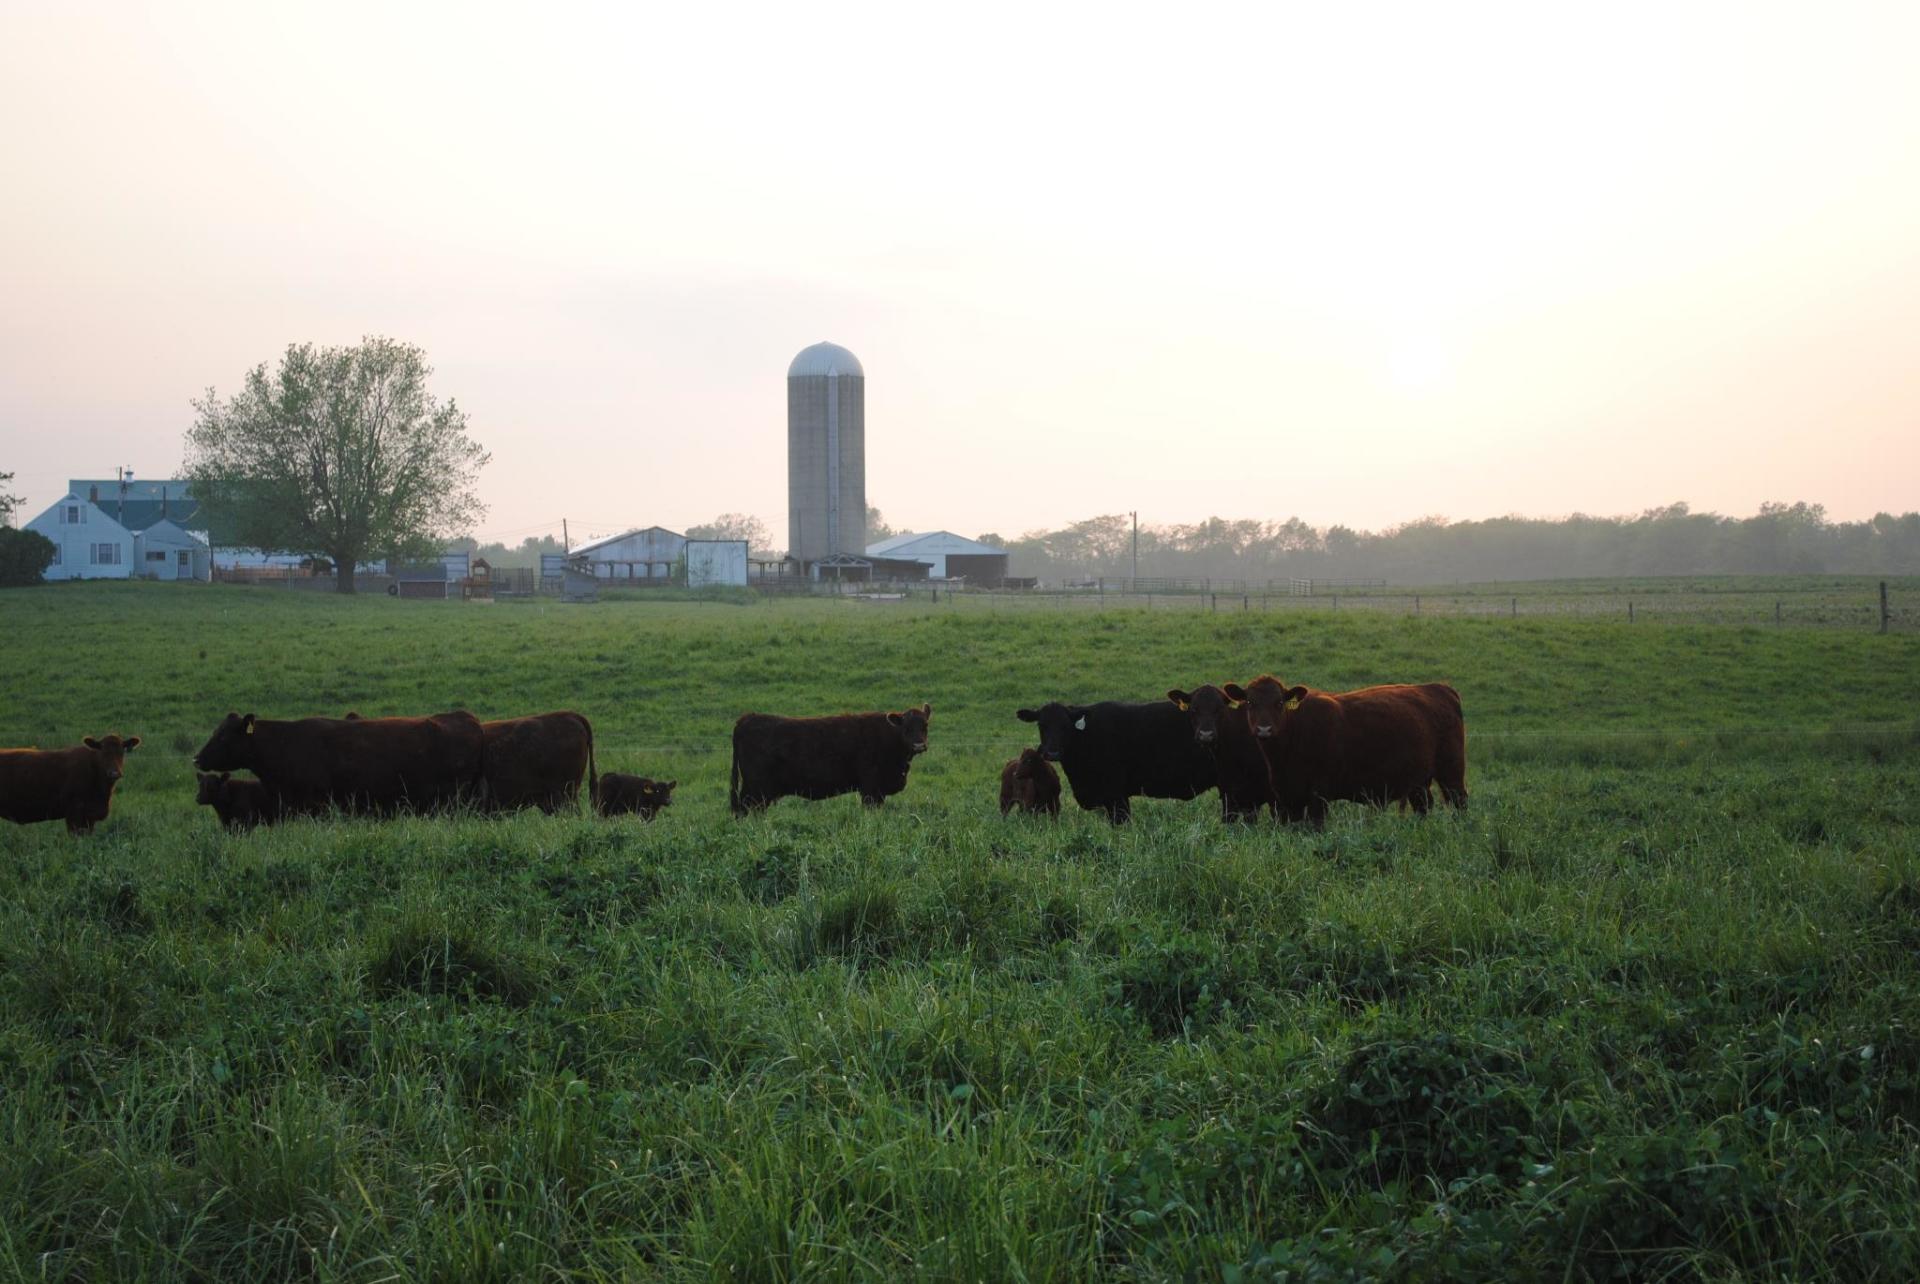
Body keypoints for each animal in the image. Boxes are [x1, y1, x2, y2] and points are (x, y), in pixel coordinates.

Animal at [192, 711, 484, 816]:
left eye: (223, 736)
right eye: (216, 731)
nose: (197, 758)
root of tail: (464, 717)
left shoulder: (318, 803)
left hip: (452, 798)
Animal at [730, 704, 931, 815]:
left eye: (925, 725)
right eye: (906, 727)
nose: (919, 745)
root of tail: (746, 718)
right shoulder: (870, 789)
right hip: (756, 789)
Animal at [1222, 675, 1467, 825]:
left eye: (1279, 703)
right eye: (1250, 703)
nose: (1264, 729)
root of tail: (1438, 687)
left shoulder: (1318, 795)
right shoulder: (1289, 799)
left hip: (1451, 772)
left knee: (1459, 801)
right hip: (1419, 781)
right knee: (1423, 805)